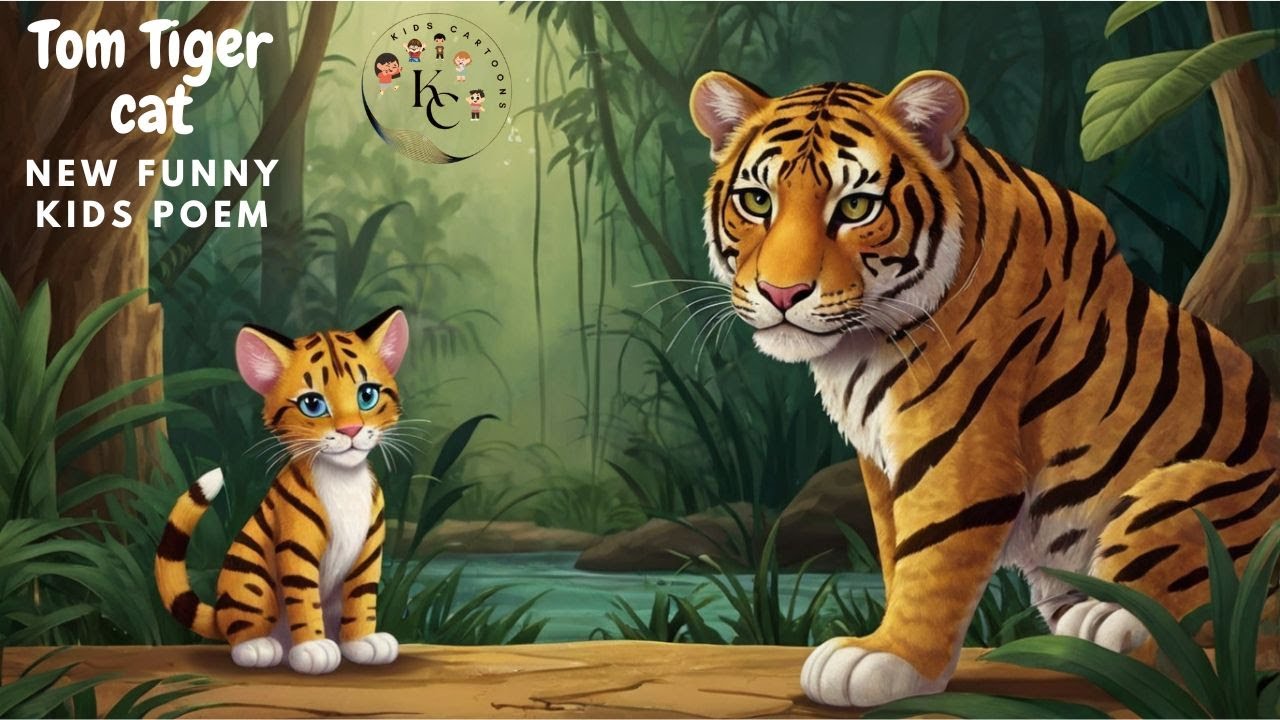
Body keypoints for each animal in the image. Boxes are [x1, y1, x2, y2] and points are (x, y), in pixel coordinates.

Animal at [155, 307, 409, 674]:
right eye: (313, 404)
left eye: (367, 395)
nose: (351, 430)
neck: (343, 478)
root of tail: (219, 611)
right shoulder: (296, 544)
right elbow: (303, 597)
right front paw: (313, 650)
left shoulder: (368, 550)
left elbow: (362, 597)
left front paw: (362, 642)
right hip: (251, 581)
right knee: (239, 630)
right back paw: (260, 648)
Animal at [689, 70, 1280, 707]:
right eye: (757, 201)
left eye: (855, 207)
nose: (781, 293)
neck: (857, 346)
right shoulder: (883, 463)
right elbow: (898, 554)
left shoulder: (958, 456)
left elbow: (932, 561)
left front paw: (888, 659)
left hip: (1185, 489)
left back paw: (1105, 621)